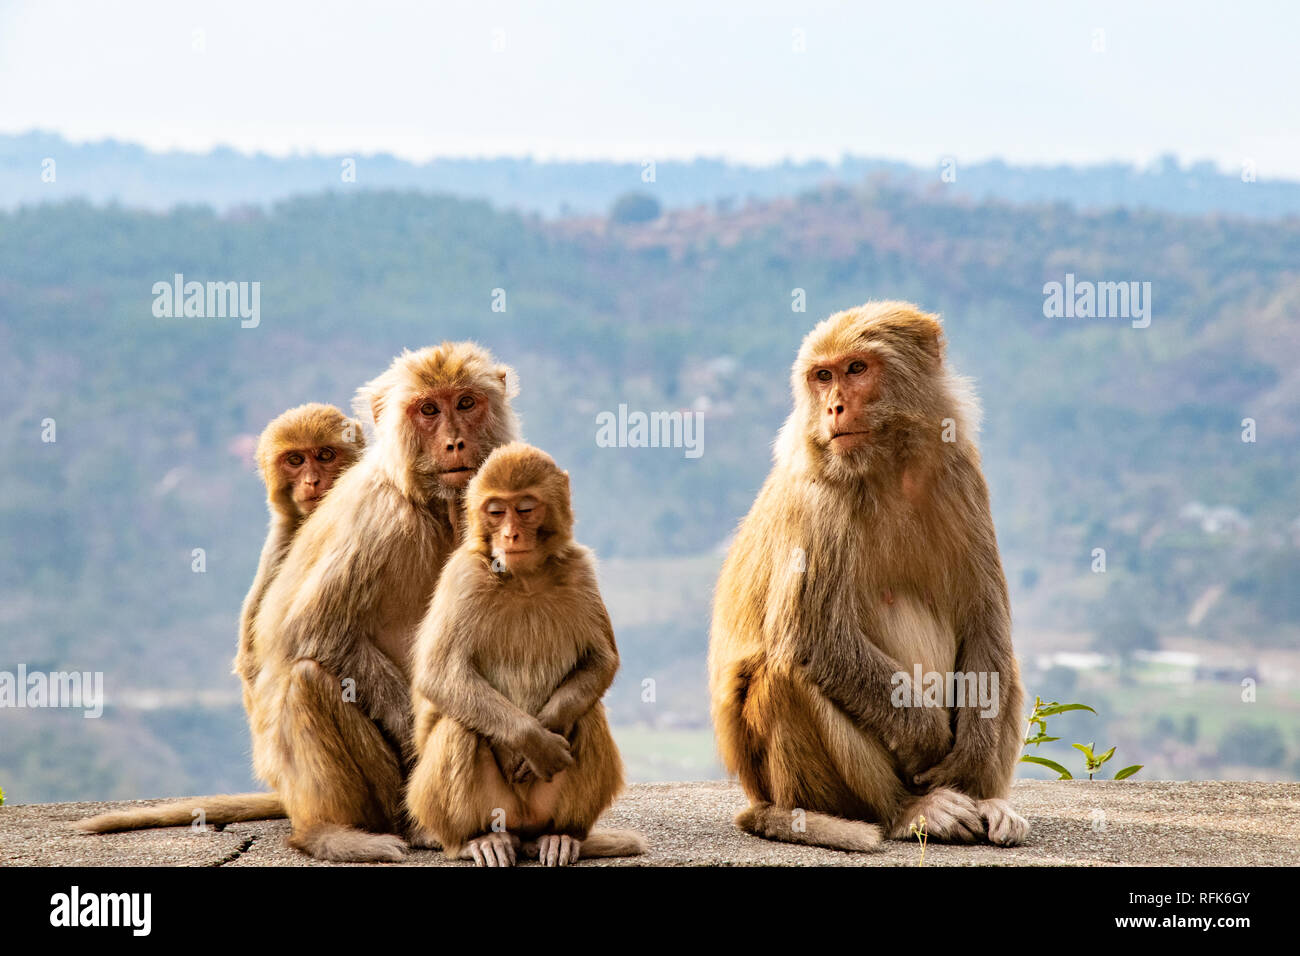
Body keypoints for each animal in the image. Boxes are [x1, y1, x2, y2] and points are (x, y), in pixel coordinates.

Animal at [404, 442, 646, 866]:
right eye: (496, 511)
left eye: (526, 508)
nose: (510, 534)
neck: (524, 579)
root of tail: (521, 827)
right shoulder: (464, 576)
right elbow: (440, 675)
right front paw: (531, 741)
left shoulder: (580, 571)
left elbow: (600, 661)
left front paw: (546, 728)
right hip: (462, 808)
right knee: (461, 724)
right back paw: (479, 839)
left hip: (543, 809)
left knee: (587, 713)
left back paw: (561, 836)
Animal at [709, 301, 1030, 853]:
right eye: (822, 377)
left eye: (856, 369)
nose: (834, 408)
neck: (887, 467)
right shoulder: (819, 500)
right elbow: (813, 639)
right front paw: (926, 738)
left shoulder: (960, 472)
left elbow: (984, 624)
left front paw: (968, 760)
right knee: (782, 673)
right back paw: (907, 810)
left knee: (1003, 660)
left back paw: (985, 799)